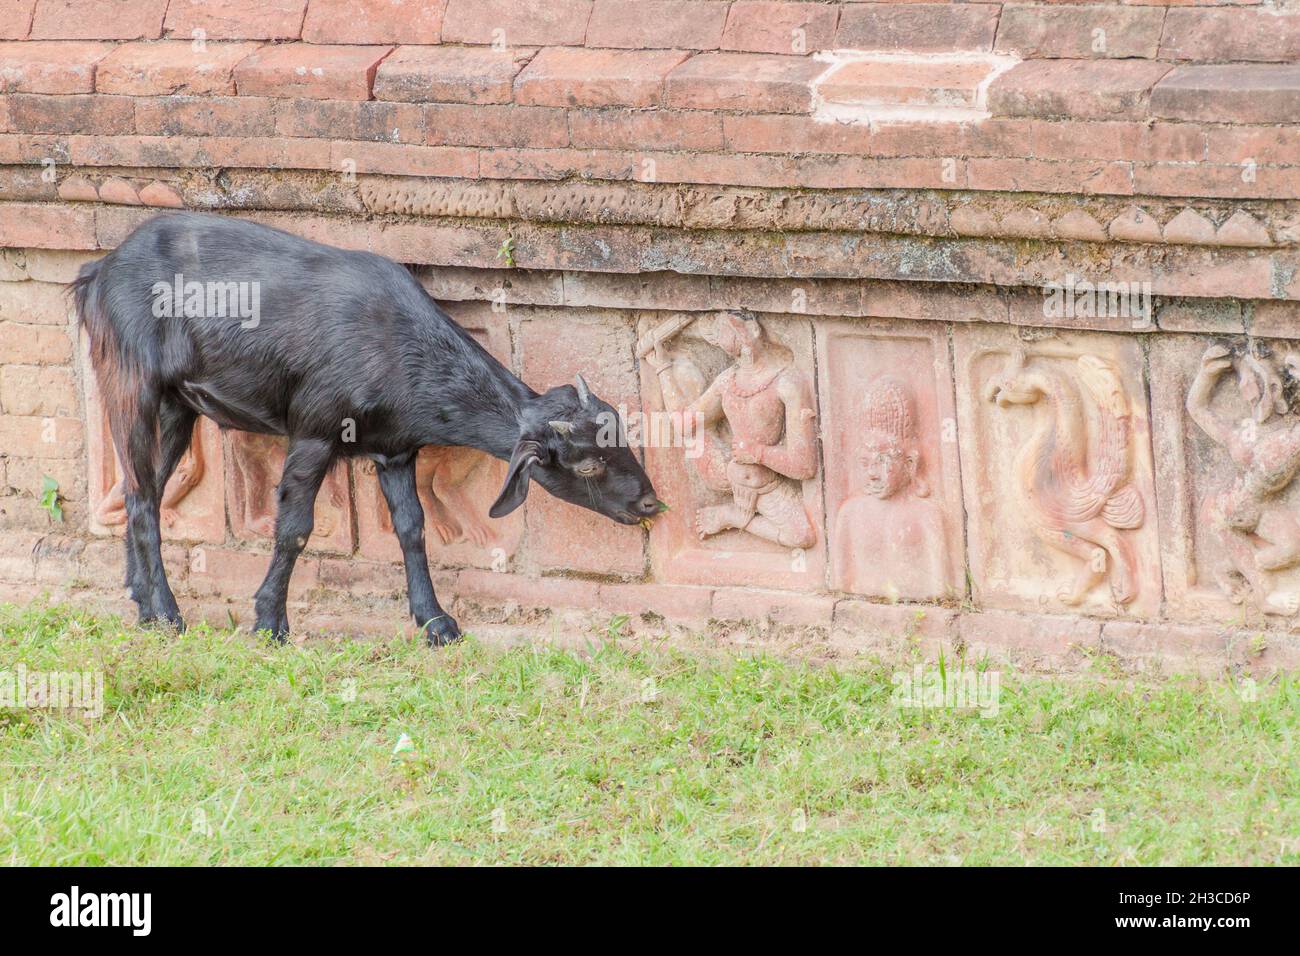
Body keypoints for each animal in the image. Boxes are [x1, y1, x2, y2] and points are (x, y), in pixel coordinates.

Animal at [72, 212, 661, 645]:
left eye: (621, 438)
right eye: (588, 463)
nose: (650, 503)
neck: (399, 348)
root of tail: (99, 271)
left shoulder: (395, 451)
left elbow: (412, 527)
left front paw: (436, 622)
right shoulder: (313, 433)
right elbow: (295, 528)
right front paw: (269, 622)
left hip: (178, 407)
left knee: (142, 487)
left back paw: (140, 599)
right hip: (131, 382)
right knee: (142, 495)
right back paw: (166, 615)